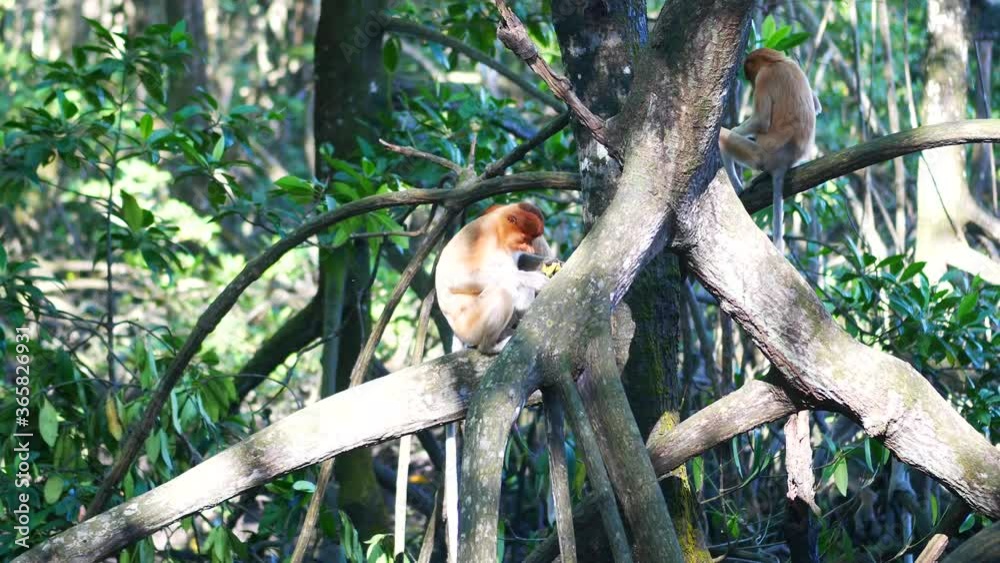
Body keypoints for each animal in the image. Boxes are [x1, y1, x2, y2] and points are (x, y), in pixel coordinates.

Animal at [435, 202, 554, 354]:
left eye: (532, 240)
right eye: (525, 239)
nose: (531, 249)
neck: (499, 230)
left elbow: (520, 260)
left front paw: (550, 263)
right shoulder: (484, 234)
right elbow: (456, 278)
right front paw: (534, 279)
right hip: (469, 327)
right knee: (503, 291)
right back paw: (491, 346)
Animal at [720, 48, 821, 253]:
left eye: (751, 75)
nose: (750, 84)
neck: (777, 61)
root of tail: (784, 161)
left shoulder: (765, 77)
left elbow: (761, 120)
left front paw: (734, 129)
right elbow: (817, 106)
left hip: (762, 155)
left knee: (726, 138)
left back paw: (739, 188)